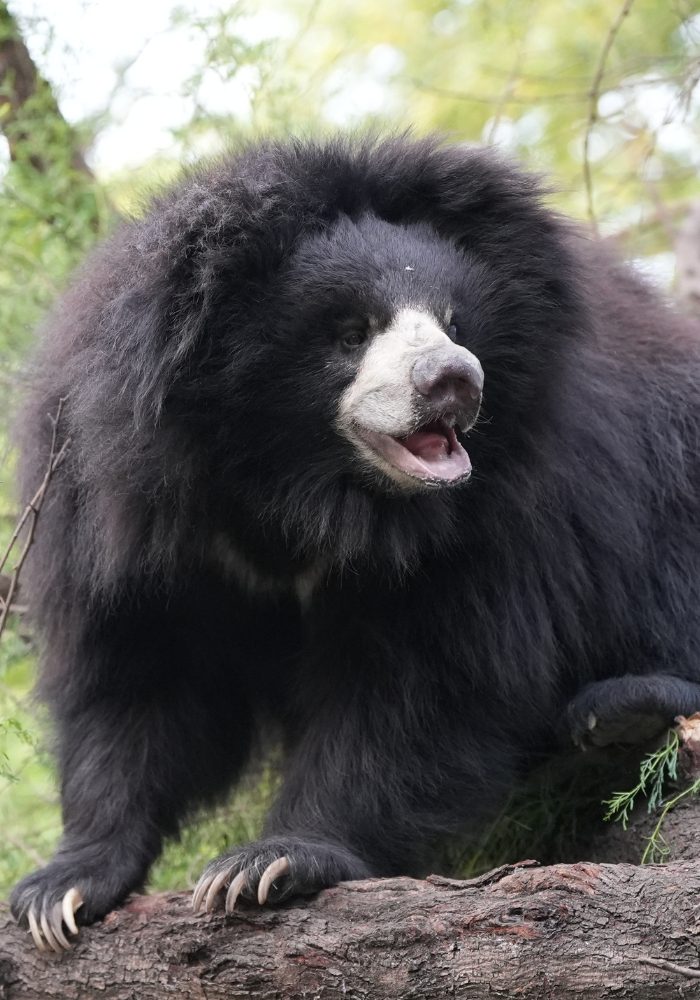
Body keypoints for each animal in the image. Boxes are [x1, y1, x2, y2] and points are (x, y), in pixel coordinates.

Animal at [10, 134, 700, 952]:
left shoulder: (491, 519)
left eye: (455, 323)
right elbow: (133, 679)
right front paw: (61, 890)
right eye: (351, 331)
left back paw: (626, 706)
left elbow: (424, 684)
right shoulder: (127, 520)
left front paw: (267, 863)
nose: (455, 379)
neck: (301, 489)